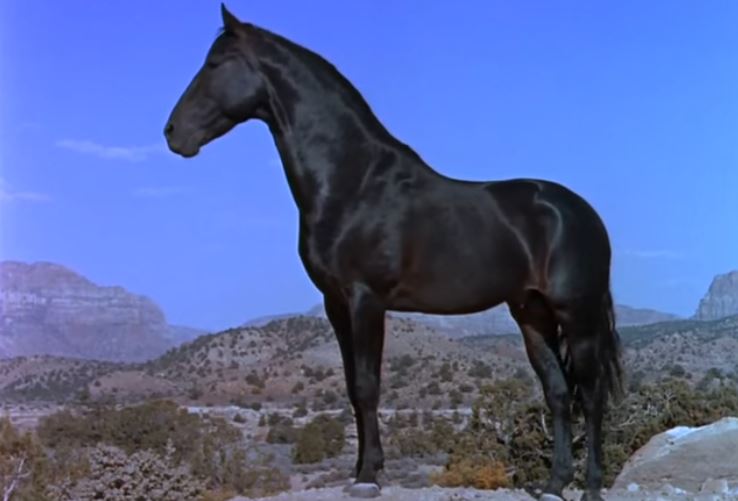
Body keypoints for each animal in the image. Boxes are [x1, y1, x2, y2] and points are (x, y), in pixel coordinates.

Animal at [164, 5, 624, 500]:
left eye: (215, 64)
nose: (172, 133)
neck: (354, 182)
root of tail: (581, 211)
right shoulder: (336, 303)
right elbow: (352, 387)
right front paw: (362, 470)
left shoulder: (367, 298)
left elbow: (368, 385)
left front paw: (368, 476)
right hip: (531, 314)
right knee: (557, 391)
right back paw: (555, 483)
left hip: (576, 313)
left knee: (591, 393)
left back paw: (591, 487)